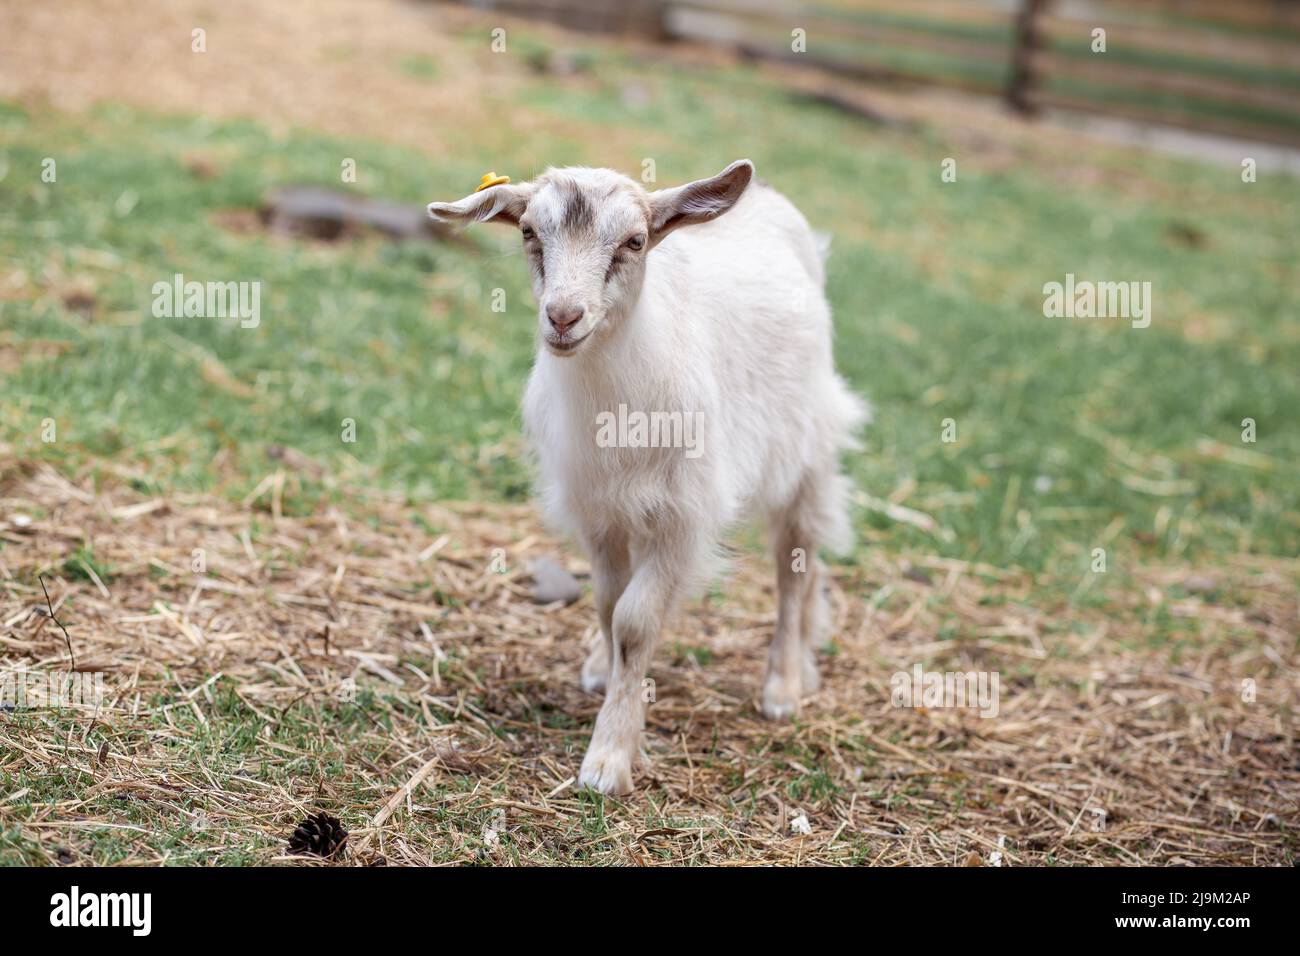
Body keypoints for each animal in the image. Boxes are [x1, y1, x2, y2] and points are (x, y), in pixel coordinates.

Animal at [428, 160, 867, 794]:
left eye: (634, 242)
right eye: (529, 232)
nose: (563, 317)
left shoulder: (684, 517)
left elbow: (635, 623)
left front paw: (608, 759)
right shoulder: (598, 510)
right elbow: (609, 605)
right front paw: (610, 682)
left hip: (808, 446)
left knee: (796, 564)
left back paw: (784, 684)